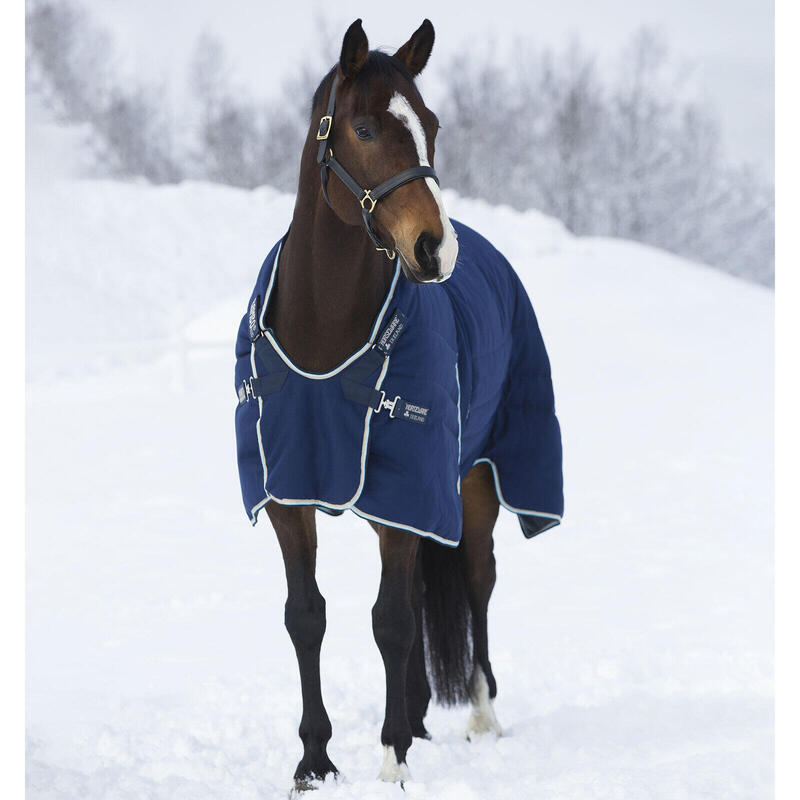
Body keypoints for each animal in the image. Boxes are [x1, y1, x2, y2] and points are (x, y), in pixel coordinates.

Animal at [234, 18, 563, 790]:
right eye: (361, 127)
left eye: (431, 125)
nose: (433, 247)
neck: (325, 329)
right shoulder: (291, 491)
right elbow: (307, 616)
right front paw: (314, 761)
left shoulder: (406, 491)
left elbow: (389, 621)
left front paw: (390, 762)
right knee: (417, 597)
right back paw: (415, 718)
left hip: (472, 482)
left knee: (475, 582)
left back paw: (478, 716)